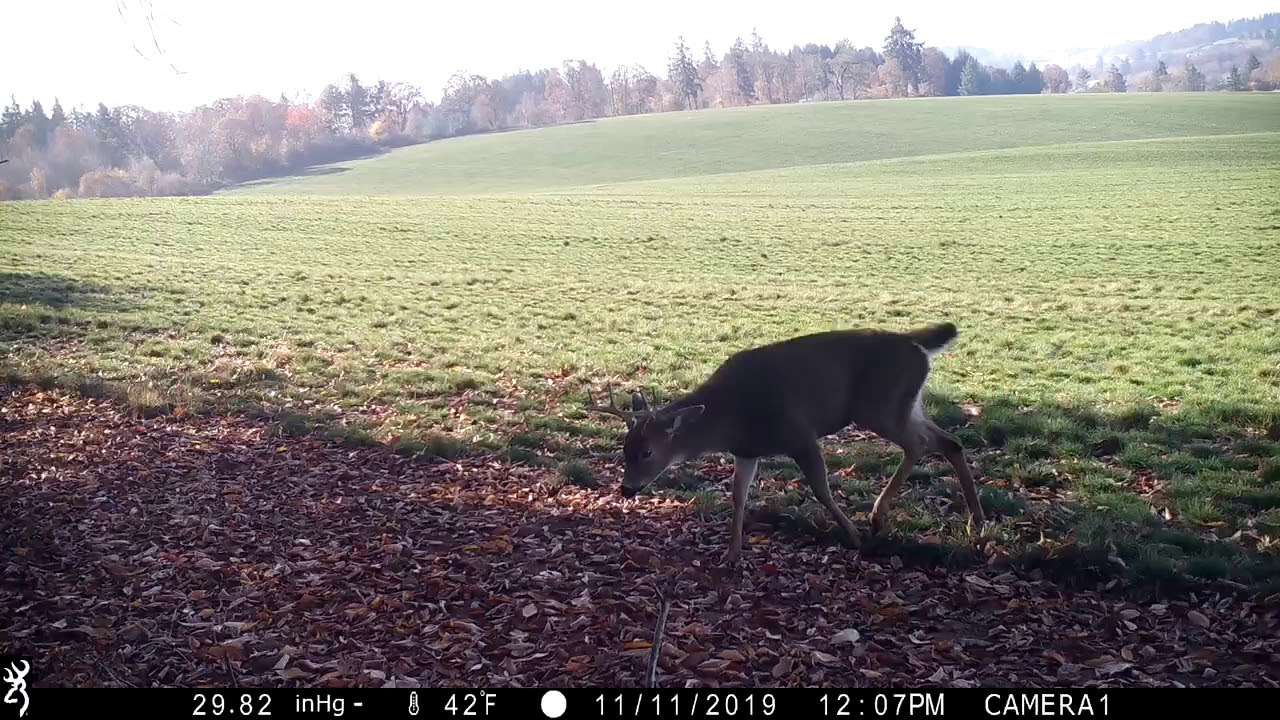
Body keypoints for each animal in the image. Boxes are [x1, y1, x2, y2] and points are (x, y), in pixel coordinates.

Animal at [586, 322, 985, 565]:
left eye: (647, 452)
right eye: (624, 449)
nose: (626, 489)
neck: (730, 419)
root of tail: (915, 343)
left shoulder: (799, 433)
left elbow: (821, 489)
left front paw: (853, 537)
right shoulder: (747, 450)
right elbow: (739, 496)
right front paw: (732, 554)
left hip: (881, 407)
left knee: (921, 444)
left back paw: (877, 517)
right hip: (904, 405)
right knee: (949, 442)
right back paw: (974, 525)